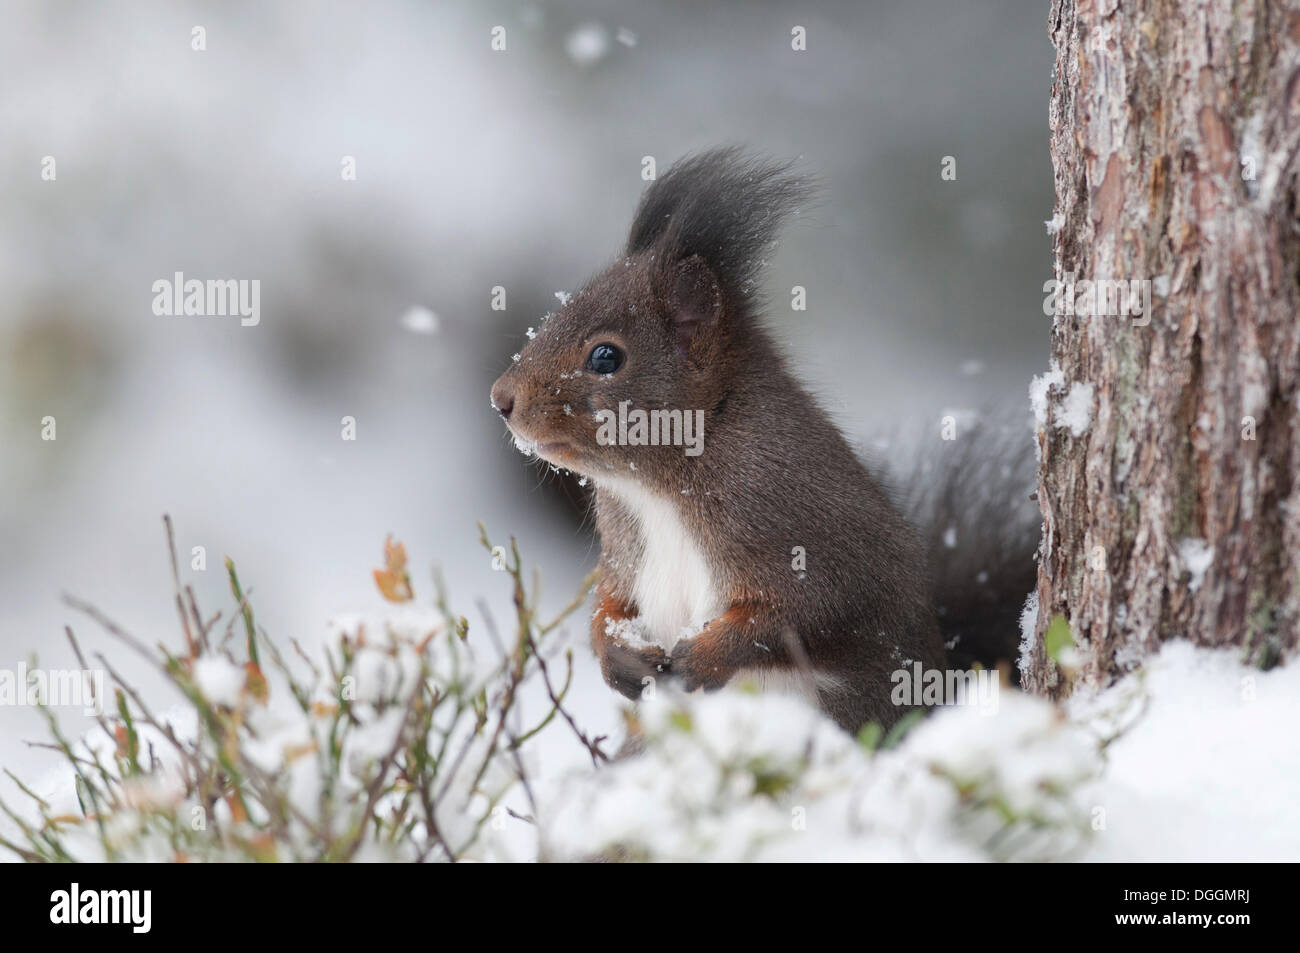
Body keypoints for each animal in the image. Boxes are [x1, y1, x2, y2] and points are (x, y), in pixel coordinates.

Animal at [490, 148, 1037, 732]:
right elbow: (611, 601)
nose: (501, 399)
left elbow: (809, 611)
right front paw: (615, 653)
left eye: (606, 357)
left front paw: (703, 655)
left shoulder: (801, 523)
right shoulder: (624, 545)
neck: (663, 487)